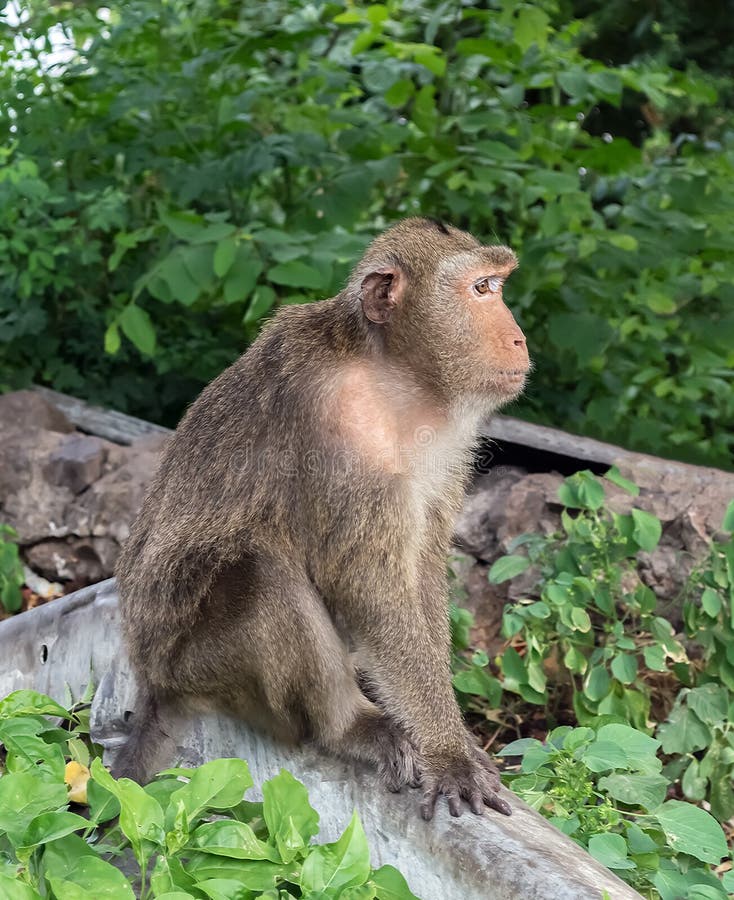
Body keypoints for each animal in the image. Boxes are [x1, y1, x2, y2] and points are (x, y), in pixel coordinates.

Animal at [114, 217, 530, 820]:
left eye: (497, 285)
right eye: (481, 289)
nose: (519, 337)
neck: (391, 376)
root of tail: (151, 683)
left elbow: (422, 568)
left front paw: (451, 736)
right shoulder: (340, 424)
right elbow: (370, 589)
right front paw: (449, 754)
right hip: (196, 667)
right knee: (258, 572)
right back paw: (347, 726)